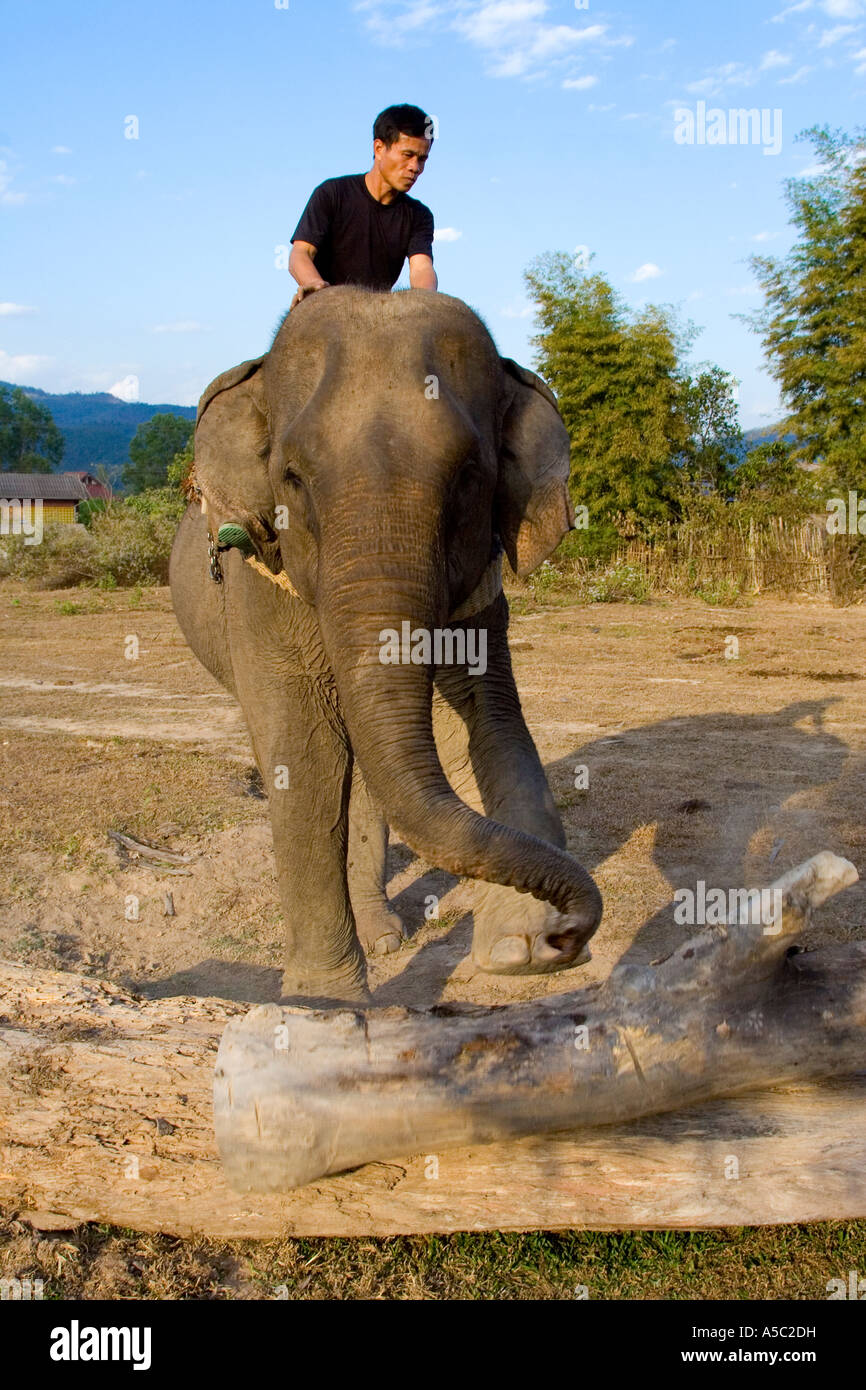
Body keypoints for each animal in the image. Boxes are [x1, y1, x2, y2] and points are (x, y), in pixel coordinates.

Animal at [169, 286, 602, 1003]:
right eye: (292, 478)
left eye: (469, 476)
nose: (567, 935)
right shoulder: (261, 586)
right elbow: (303, 751)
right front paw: (322, 1005)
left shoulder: (481, 590)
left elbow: (492, 718)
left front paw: (517, 948)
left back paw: (384, 935)